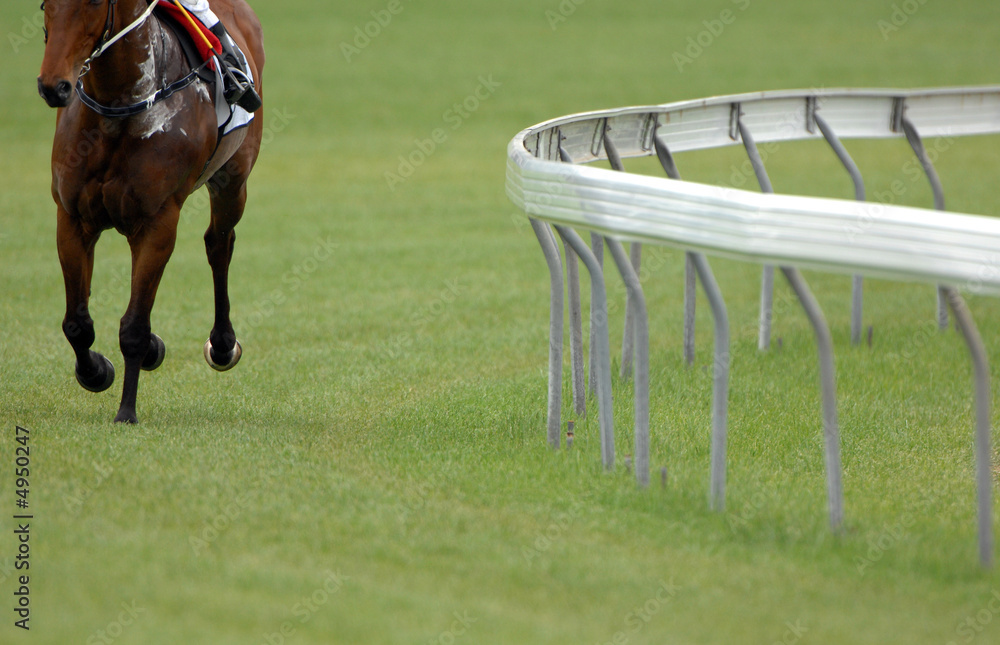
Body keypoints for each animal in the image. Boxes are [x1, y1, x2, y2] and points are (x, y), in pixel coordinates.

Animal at [37, 0, 265, 423]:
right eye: (46, 5)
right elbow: (77, 323)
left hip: (232, 181)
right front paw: (94, 371)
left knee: (219, 245)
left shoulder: (157, 223)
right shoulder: (72, 219)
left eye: (94, 3)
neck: (119, 107)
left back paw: (223, 344)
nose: (53, 85)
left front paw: (126, 410)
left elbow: (134, 328)